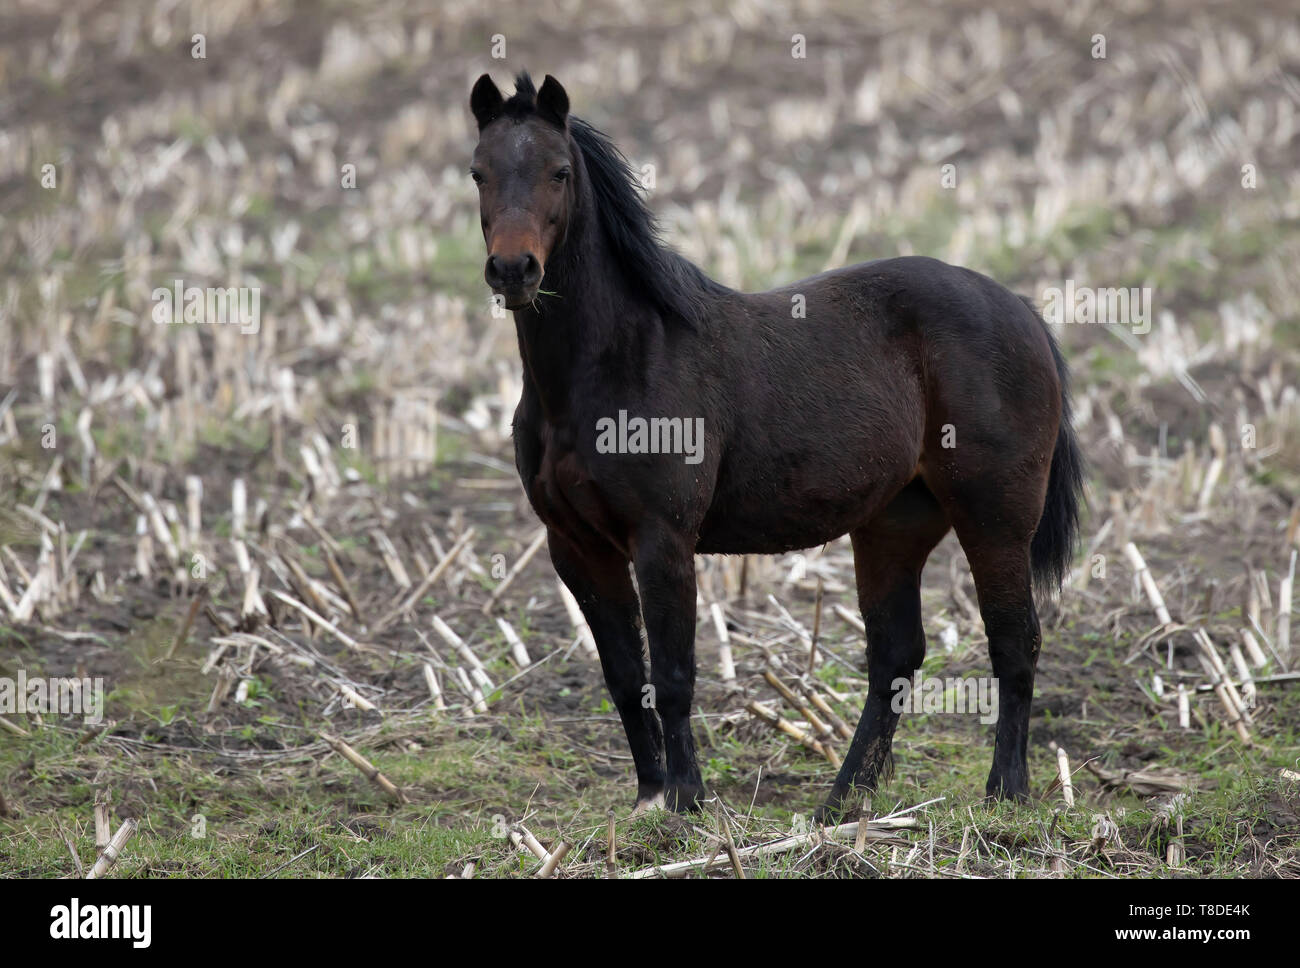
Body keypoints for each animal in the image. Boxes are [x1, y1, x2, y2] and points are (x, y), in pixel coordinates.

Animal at [468, 71, 1084, 819]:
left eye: (559, 171)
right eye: (478, 172)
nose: (513, 270)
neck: (616, 363)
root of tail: (1020, 311)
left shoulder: (663, 538)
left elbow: (672, 674)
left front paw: (686, 806)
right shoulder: (577, 548)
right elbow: (622, 675)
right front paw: (649, 798)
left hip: (995, 519)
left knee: (1014, 640)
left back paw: (1005, 795)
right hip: (894, 524)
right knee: (896, 656)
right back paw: (842, 802)